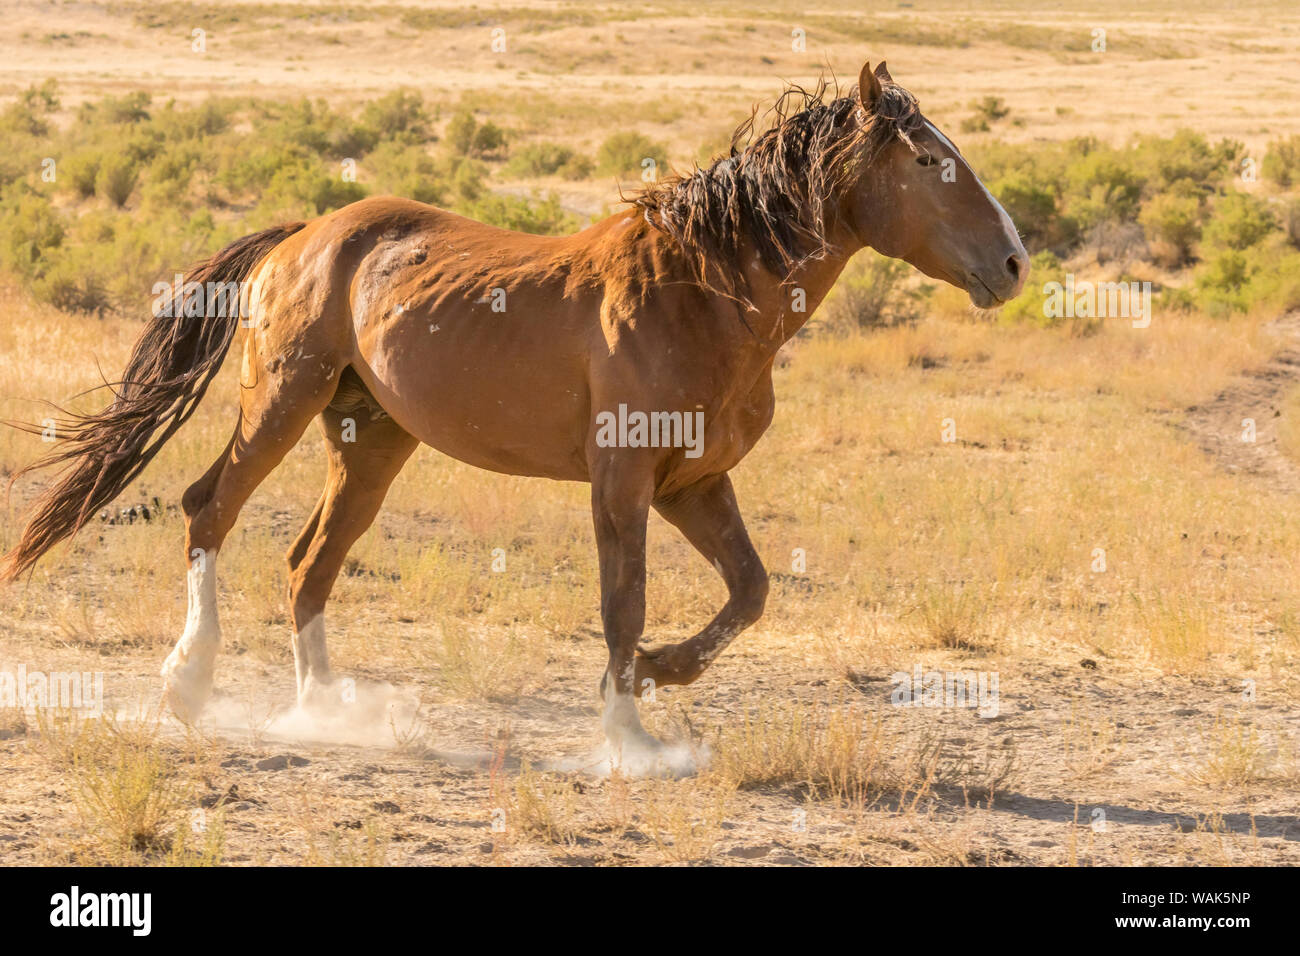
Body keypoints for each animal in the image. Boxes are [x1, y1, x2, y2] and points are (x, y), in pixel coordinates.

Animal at [1, 61, 1028, 759]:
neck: (700, 291)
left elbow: (749, 591)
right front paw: (628, 736)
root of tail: (306, 234)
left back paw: (329, 713)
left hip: (370, 442)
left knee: (309, 563)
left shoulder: (693, 484)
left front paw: (654, 676)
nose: (1016, 263)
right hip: (282, 401)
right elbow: (624, 602)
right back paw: (189, 683)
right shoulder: (623, 484)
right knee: (210, 510)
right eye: (931, 160)